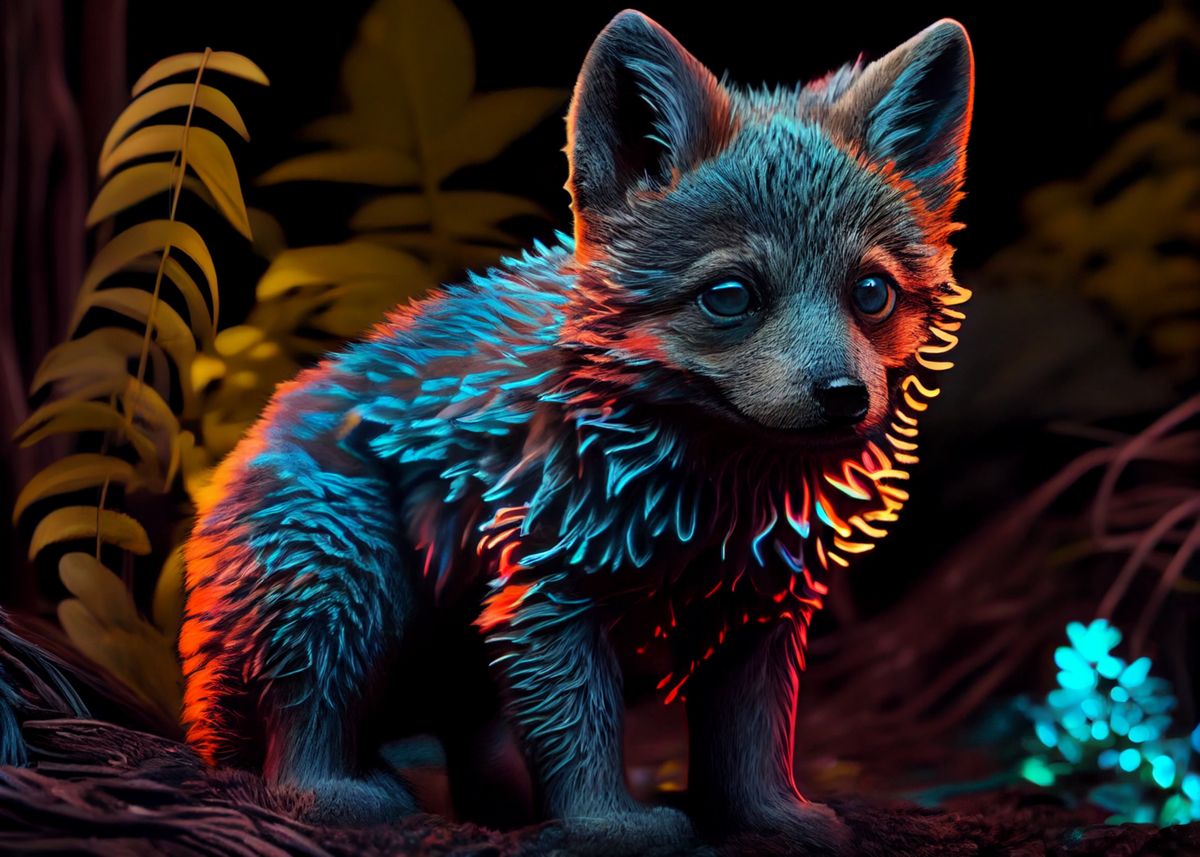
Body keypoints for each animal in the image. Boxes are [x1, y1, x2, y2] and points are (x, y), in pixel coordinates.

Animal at [181, 9, 973, 851]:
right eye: (730, 296)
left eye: (871, 292)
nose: (845, 396)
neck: (712, 500)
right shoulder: (547, 593)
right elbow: (580, 733)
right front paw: (609, 825)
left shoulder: (758, 610)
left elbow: (751, 744)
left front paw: (774, 820)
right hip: (346, 574)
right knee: (303, 721)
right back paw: (334, 794)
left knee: (472, 736)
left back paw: (501, 814)